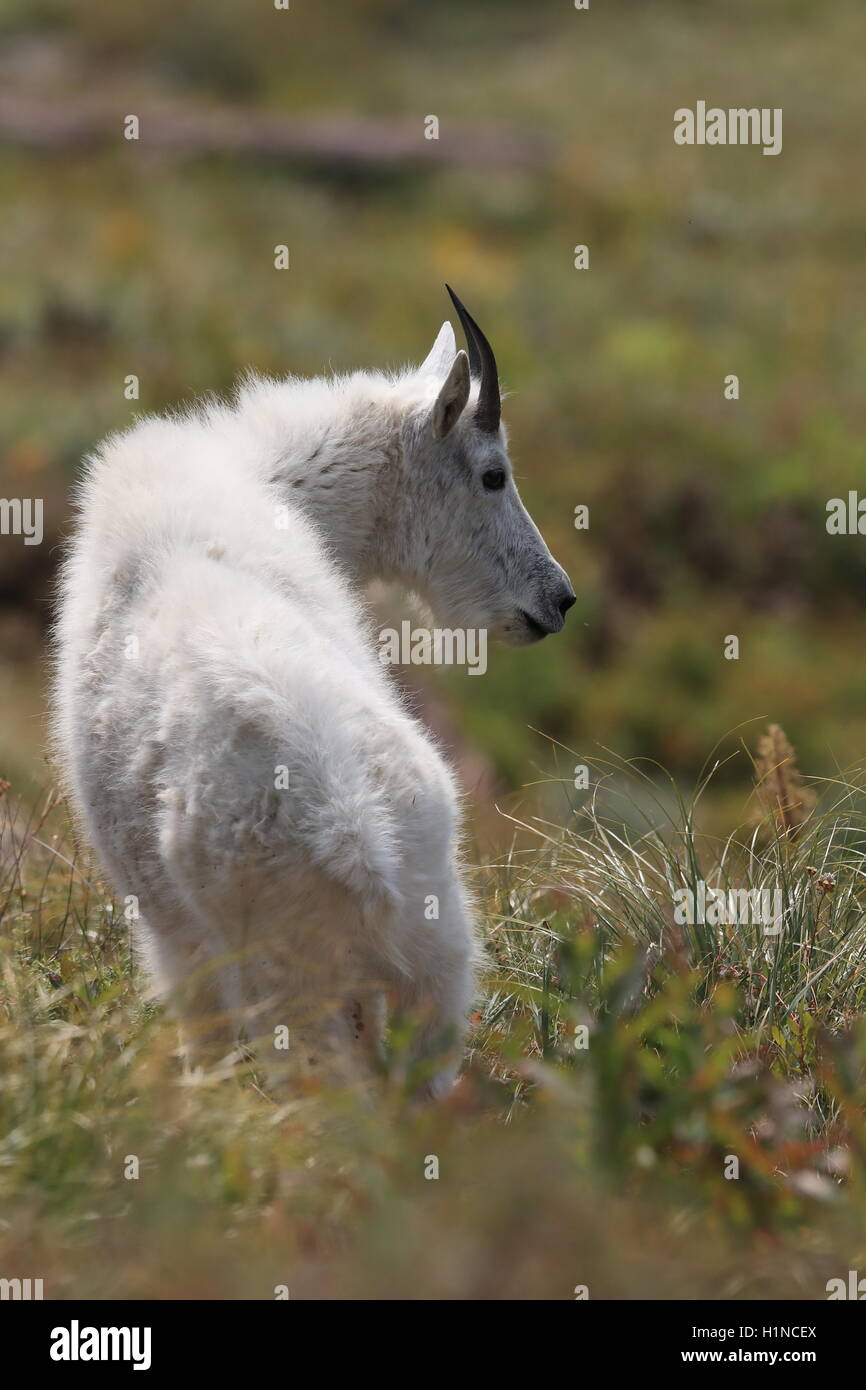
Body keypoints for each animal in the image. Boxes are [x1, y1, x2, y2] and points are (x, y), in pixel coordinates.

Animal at [51, 287, 575, 1096]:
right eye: (494, 474)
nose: (558, 600)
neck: (271, 483)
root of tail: (356, 838)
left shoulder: (173, 940)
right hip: (438, 963)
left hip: (289, 990)